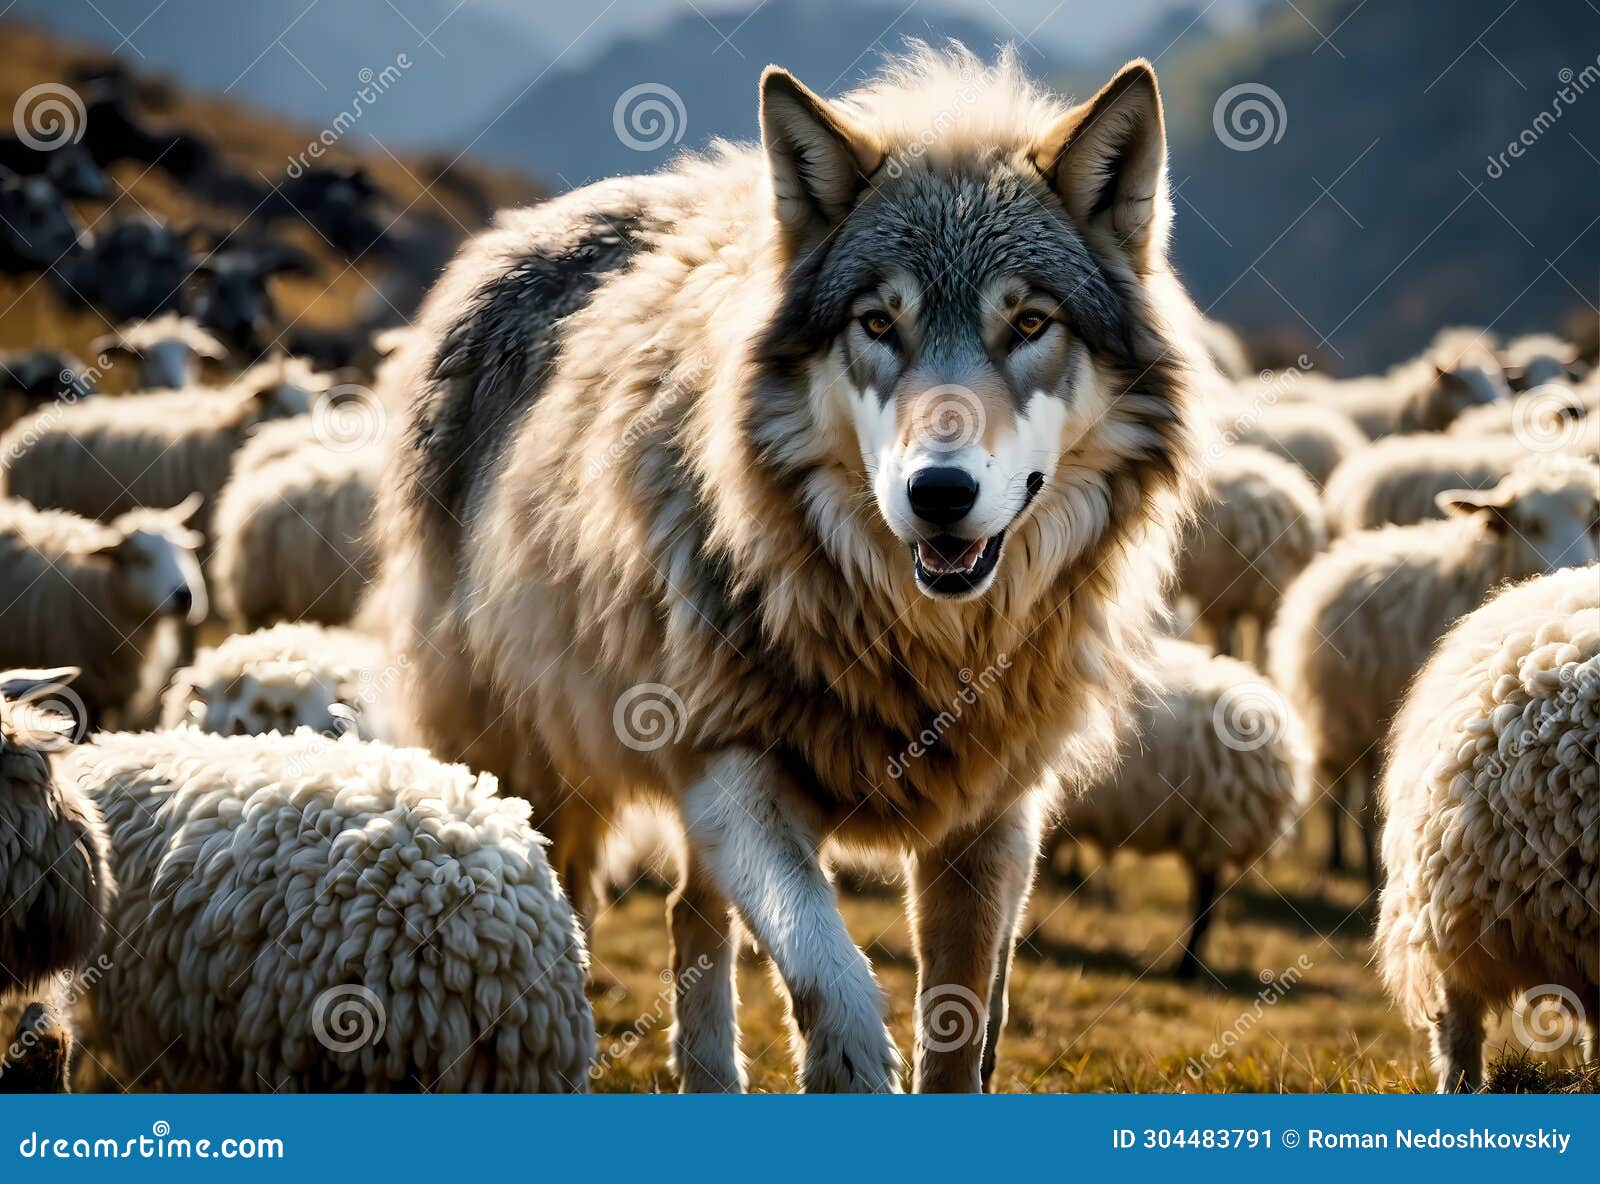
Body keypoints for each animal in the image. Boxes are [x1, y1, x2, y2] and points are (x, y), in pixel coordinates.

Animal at [374, 46, 1205, 1092]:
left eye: (1029, 324)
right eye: (879, 323)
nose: (939, 492)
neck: (914, 646)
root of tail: (522, 228)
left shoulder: (989, 819)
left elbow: (962, 1026)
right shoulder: (734, 769)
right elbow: (831, 978)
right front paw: (849, 1067)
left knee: (692, 914)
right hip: (530, 759)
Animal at [1269, 455, 1600, 881]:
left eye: (1595, 521)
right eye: (1529, 524)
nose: (1578, 566)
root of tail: (1342, 551)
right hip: (1340, 716)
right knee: (1341, 788)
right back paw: (1343, 856)